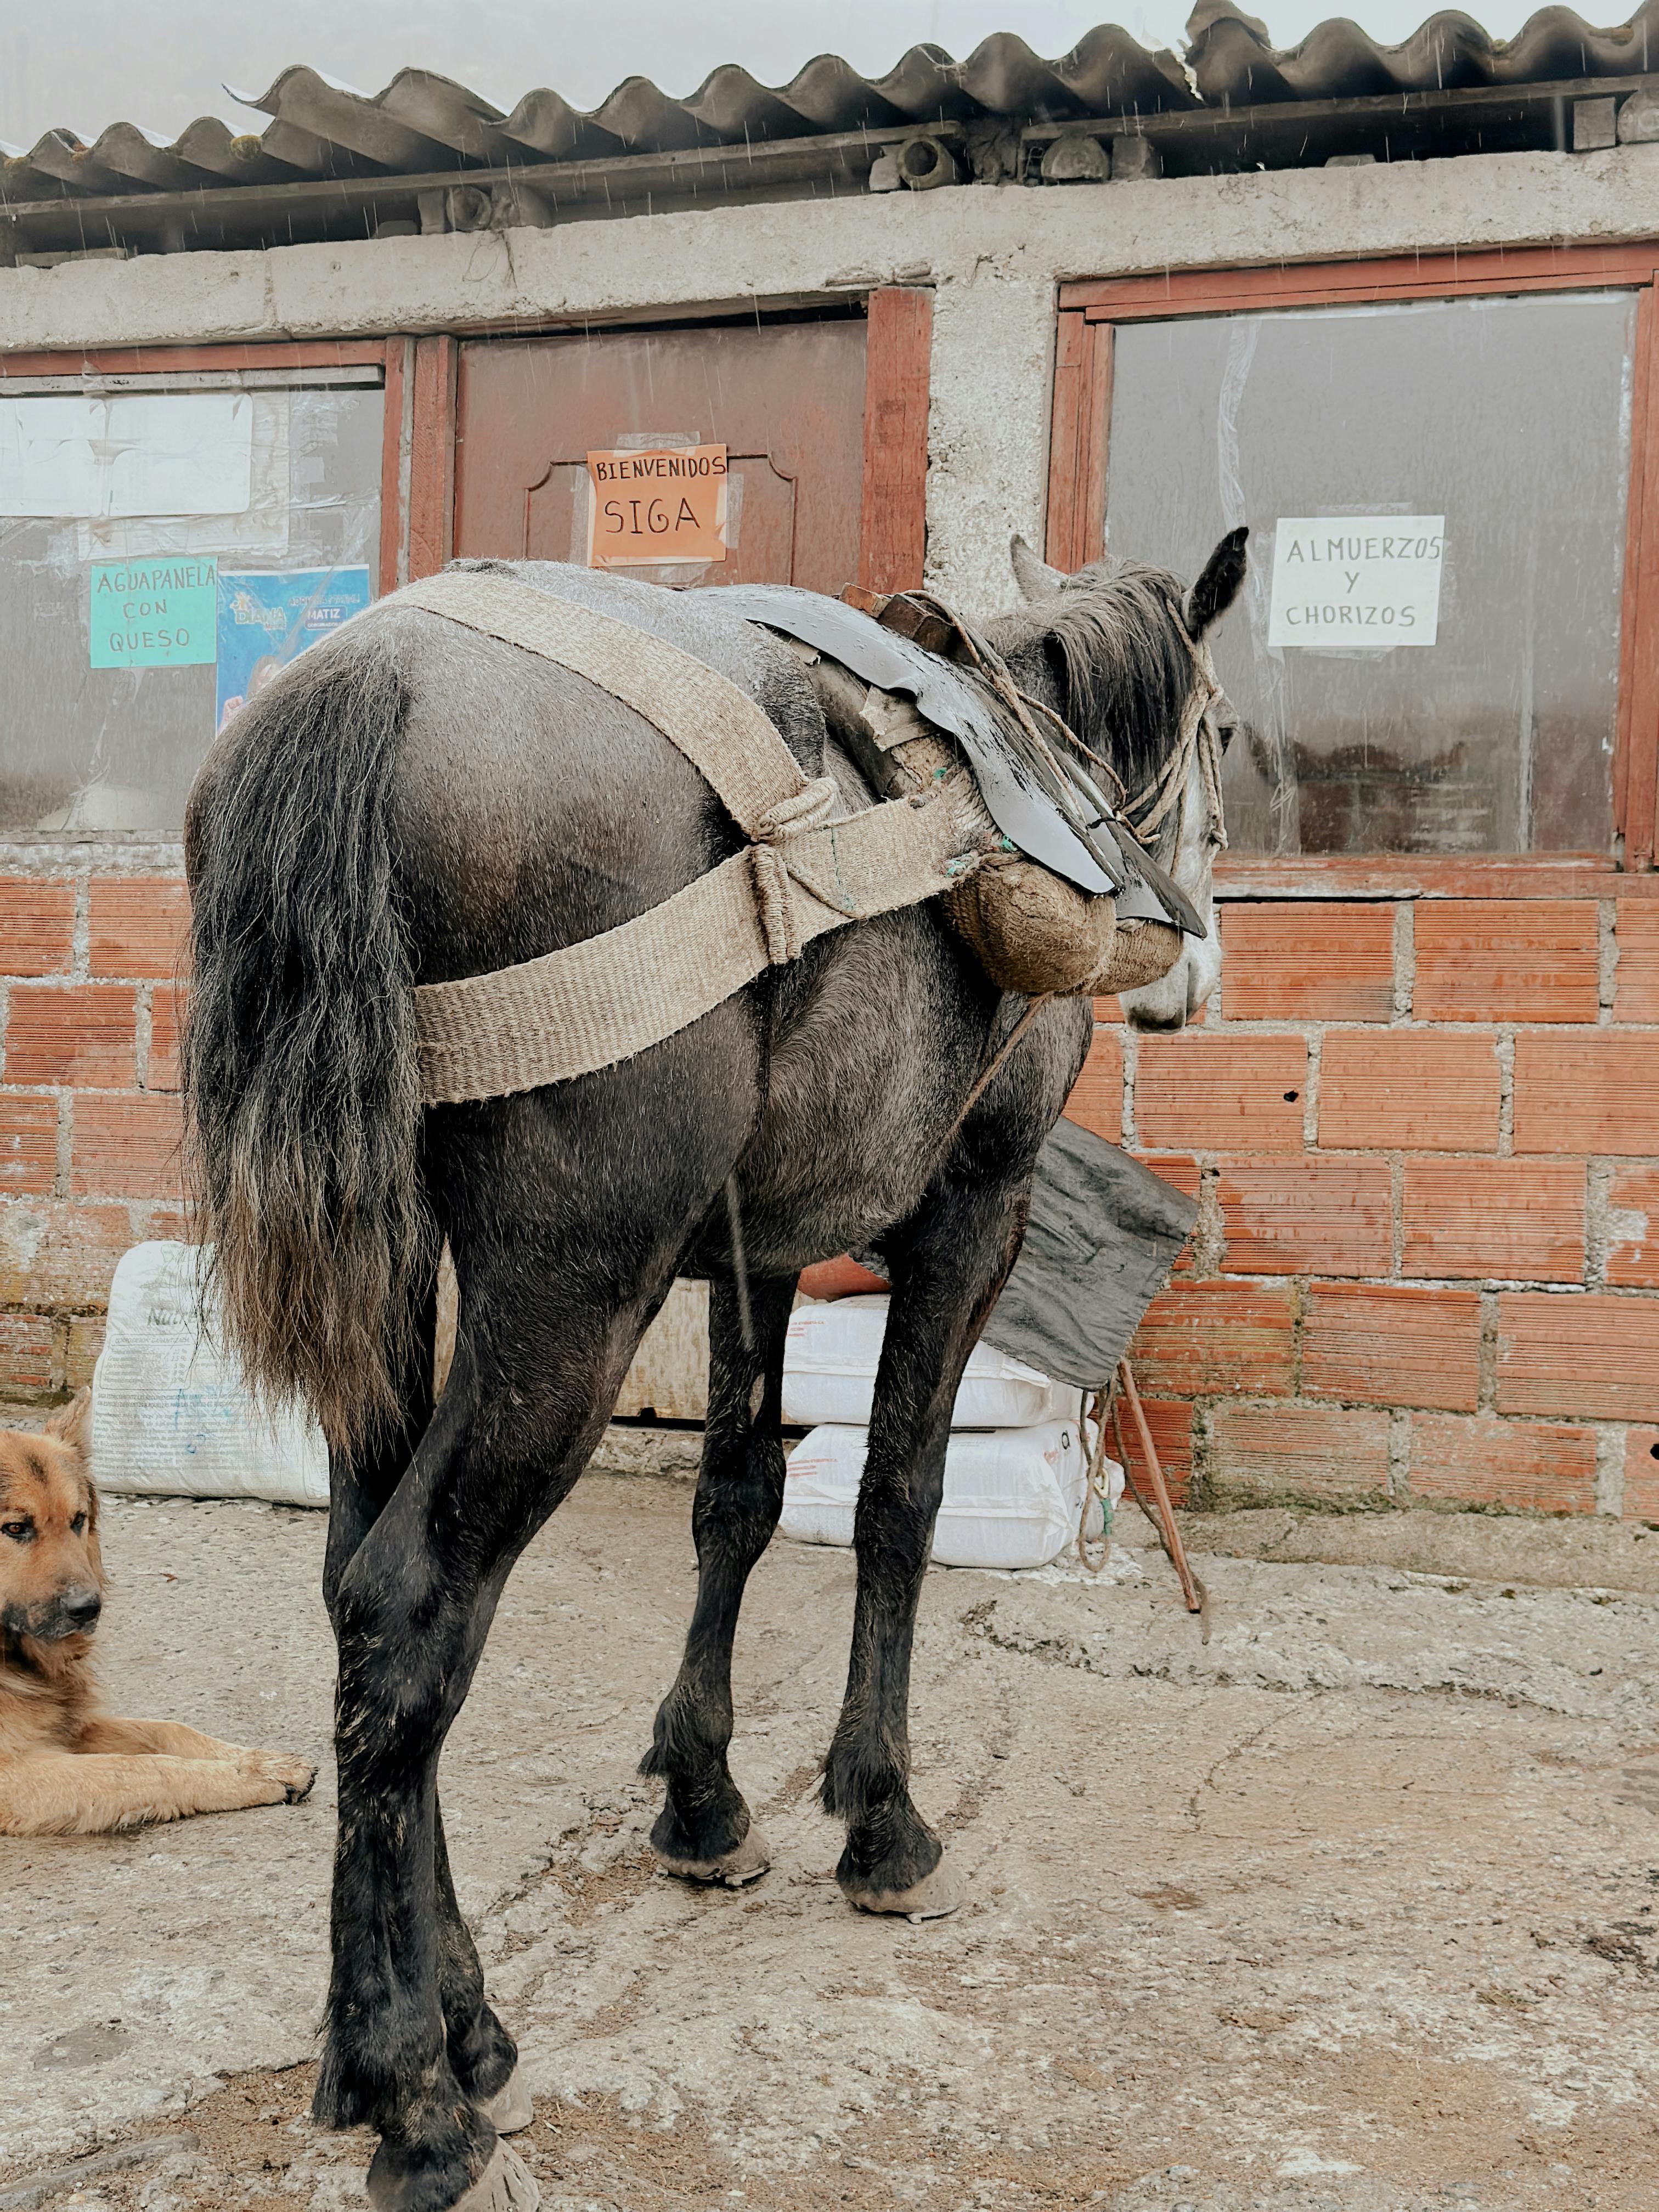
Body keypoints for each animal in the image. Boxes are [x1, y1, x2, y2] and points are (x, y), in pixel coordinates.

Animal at [181, 525, 1246, 2212]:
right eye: (1227, 736)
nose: (1191, 965)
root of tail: (372, 684)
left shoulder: (758, 1246)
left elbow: (737, 1495)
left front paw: (701, 1793)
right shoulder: (979, 1206)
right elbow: (895, 1499)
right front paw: (881, 1816)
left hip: (396, 1274)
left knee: (357, 1593)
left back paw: (429, 2031)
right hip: (569, 1296)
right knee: (414, 1610)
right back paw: (416, 2094)